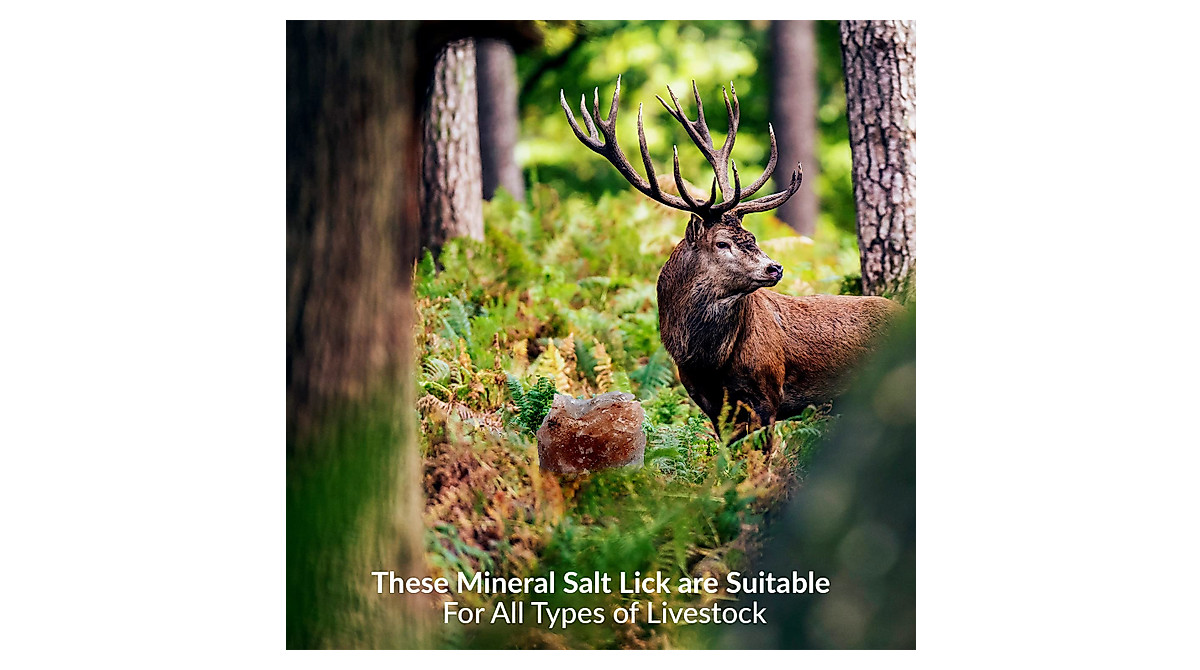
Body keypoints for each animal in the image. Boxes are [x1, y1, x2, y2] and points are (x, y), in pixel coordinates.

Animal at [561, 77, 902, 441]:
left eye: (752, 237)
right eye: (722, 243)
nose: (775, 267)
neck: (709, 363)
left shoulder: (767, 392)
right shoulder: (708, 402)